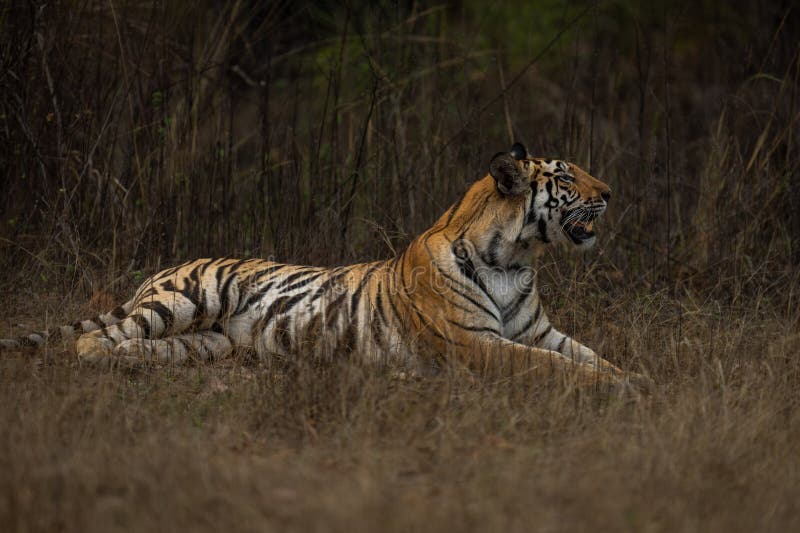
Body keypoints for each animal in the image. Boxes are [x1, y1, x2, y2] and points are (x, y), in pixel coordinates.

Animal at [1, 142, 647, 393]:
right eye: (566, 176)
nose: (612, 193)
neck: (516, 259)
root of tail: (161, 271)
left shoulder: (539, 330)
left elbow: (588, 354)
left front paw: (635, 378)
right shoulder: (477, 344)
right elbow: (553, 367)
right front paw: (617, 388)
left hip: (205, 342)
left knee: (147, 347)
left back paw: (141, 364)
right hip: (190, 298)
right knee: (90, 344)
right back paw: (107, 363)